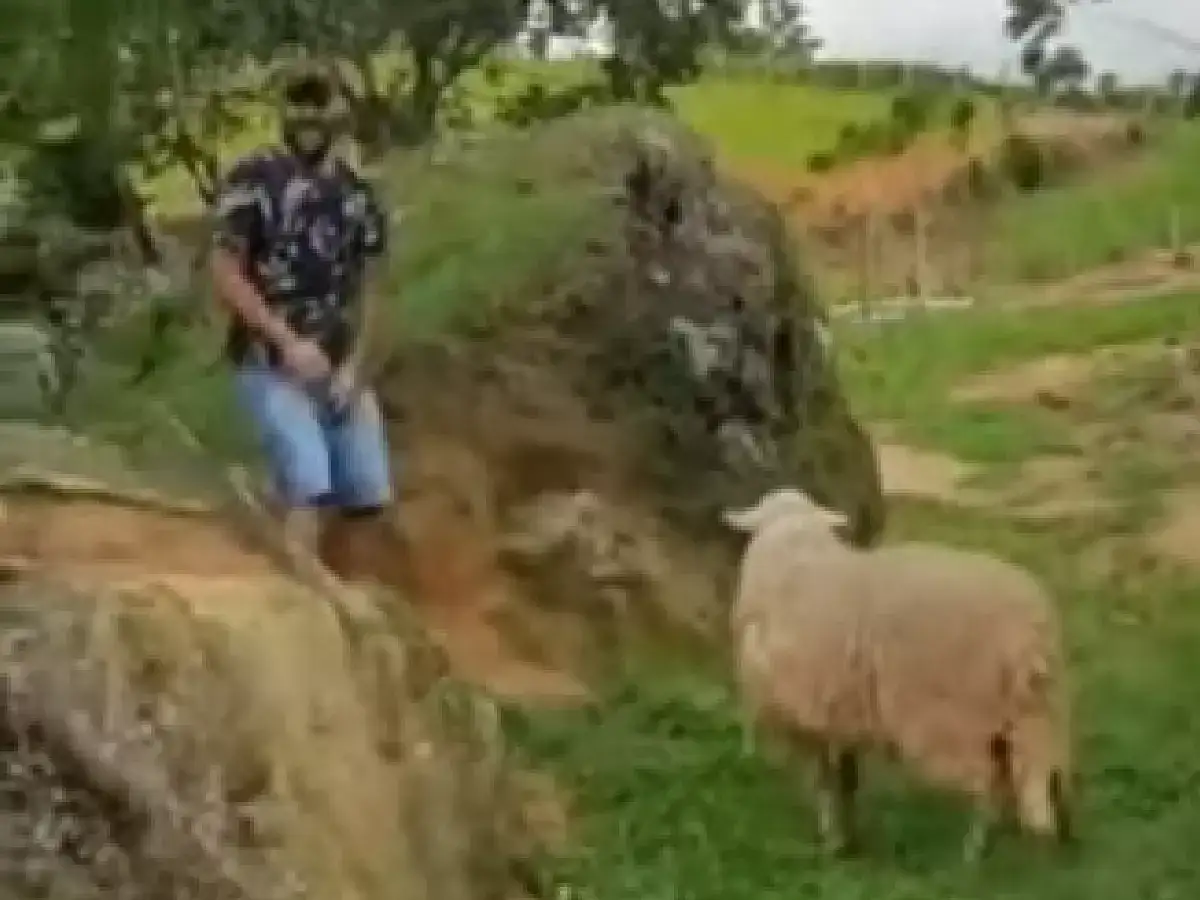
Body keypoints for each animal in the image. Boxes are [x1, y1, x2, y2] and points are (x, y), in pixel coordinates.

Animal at [722, 487, 1073, 861]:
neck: (794, 541)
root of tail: (1028, 627)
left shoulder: (805, 715)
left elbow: (823, 780)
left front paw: (832, 837)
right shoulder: (840, 711)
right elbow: (846, 777)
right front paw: (848, 837)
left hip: (963, 717)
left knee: (989, 785)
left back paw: (974, 850)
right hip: (1037, 708)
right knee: (1040, 775)